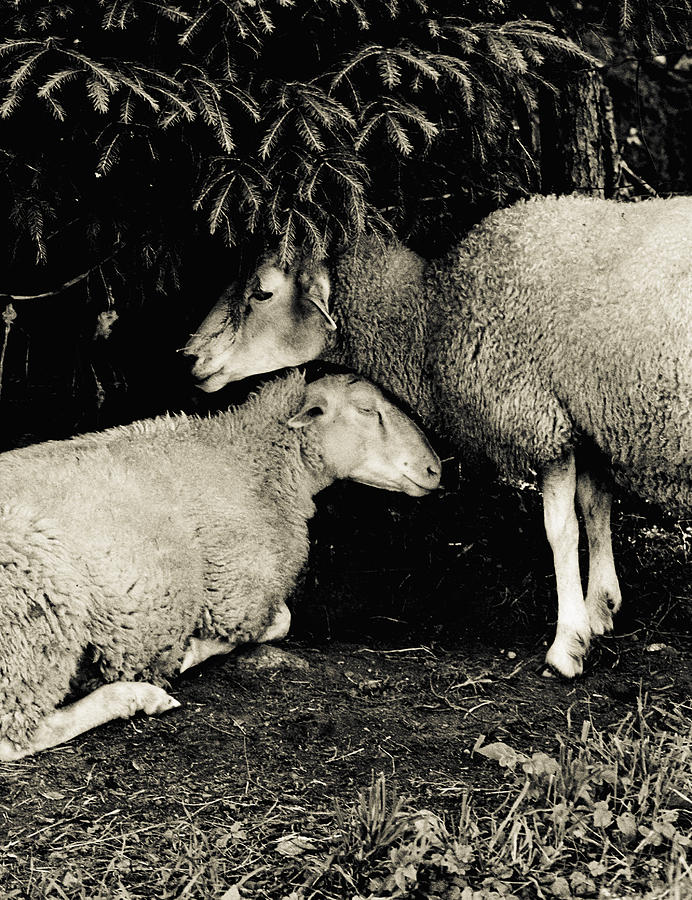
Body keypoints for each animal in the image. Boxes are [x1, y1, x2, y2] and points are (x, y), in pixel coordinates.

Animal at [0, 371, 441, 760]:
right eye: (367, 410)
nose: (436, 469)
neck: (250, 459)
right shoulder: (235, 589)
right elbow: (280, 621)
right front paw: (190, 651)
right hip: (38, 620)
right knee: (17, 739)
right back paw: (137, 696)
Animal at [183, 194, 692, 679]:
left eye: (262, 292)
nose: (191, 358)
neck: (432, 316)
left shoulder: (536, 418)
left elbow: (560, 531)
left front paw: (568, 645)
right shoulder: (581, 420)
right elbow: (596, 508)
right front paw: (601, 609)